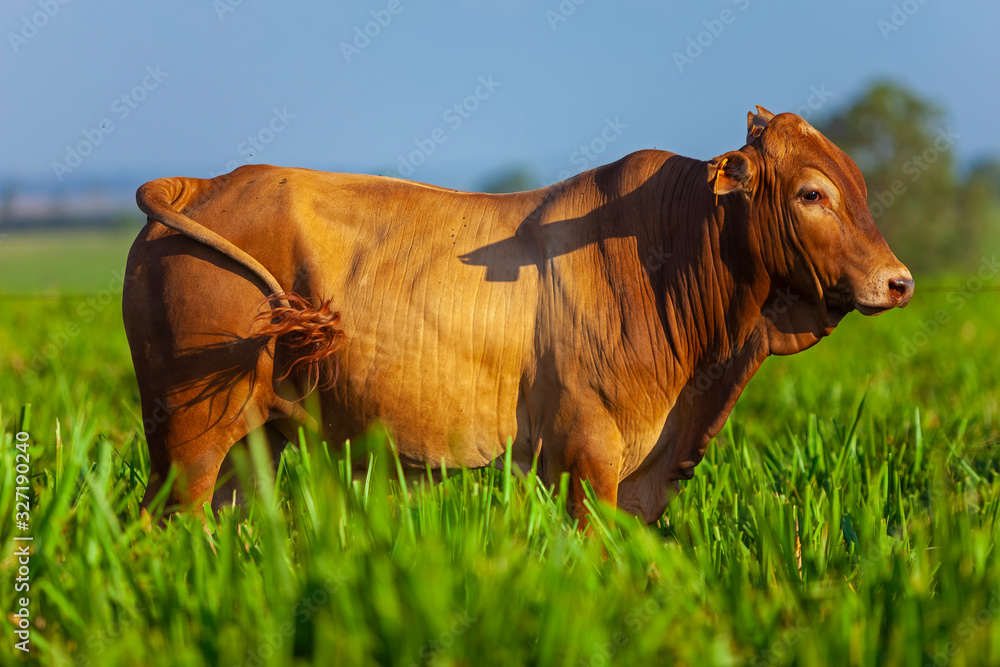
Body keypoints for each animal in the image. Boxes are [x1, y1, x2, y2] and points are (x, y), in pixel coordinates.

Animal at [123, 106, 913, 524]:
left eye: (856, 182)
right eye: (812, 193)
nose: (899, 282)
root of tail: (199, 184)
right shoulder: (589, 457)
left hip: (252, 439)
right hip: (190, 435)